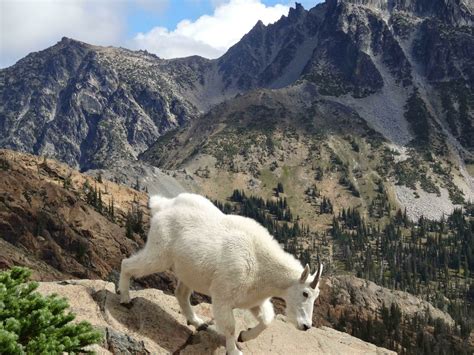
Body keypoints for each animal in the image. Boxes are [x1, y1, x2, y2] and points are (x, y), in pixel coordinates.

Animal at [120, 195, 324, 355]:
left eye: (317, 296)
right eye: (305, 293)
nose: (306, 326)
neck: (261, 263)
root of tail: (163, 206)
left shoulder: (254, 300)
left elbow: (267, 320)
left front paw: (244, 336)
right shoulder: (223, 296)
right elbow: (230, 326)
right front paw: (234, 350)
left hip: (188, 270)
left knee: (181, 293)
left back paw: (197, 322)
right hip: (159, 252)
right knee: (128, 264)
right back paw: (124, 298)